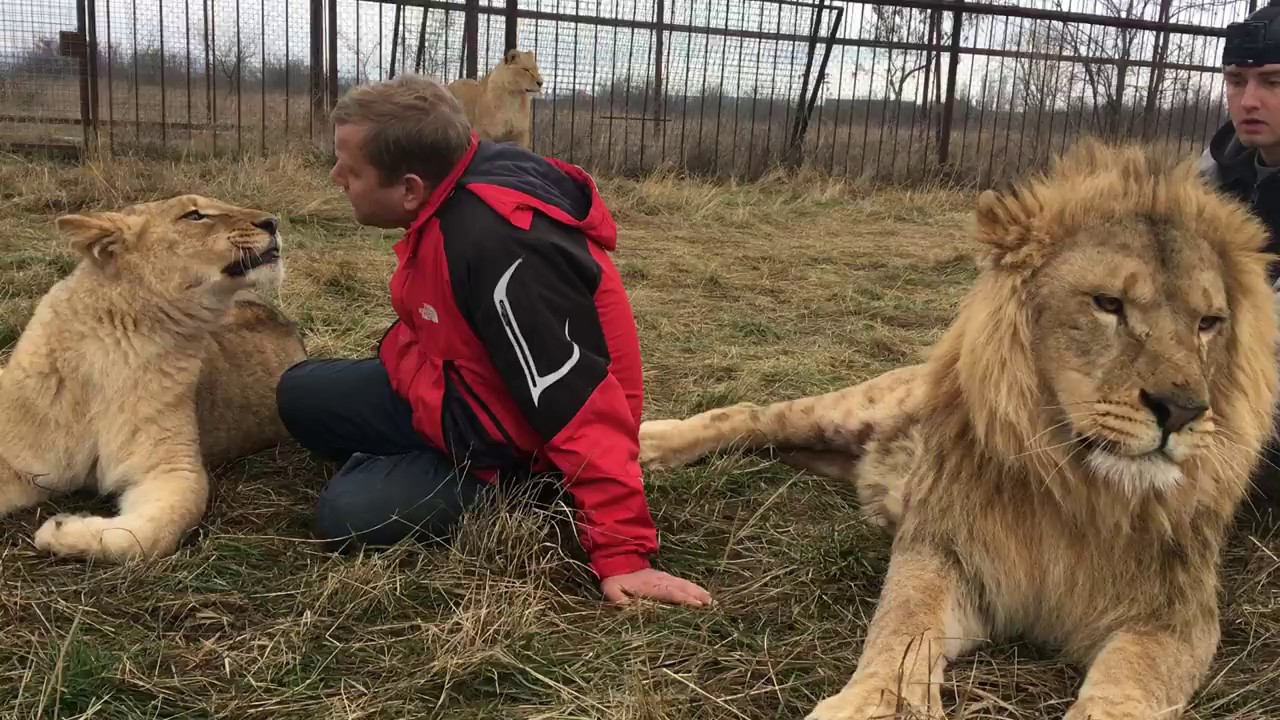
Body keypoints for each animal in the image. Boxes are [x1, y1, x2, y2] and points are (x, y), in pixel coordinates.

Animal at [0, 194, 307, 563]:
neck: (114, 346)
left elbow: (149, 536)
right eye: (194, 215)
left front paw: (61, 531)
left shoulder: (172, 469)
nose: (273, 222)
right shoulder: (22, 456)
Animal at [639, 140, 1279, 720]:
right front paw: (876, 704)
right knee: (750, 414)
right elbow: (903, 628)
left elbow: (1131, 681)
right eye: (1108, 303)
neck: (1079, 489)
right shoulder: (946, 552)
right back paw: (650, 445)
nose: (1182, 411)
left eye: (1209, 323)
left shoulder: (1176, 616)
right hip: (850, 408)